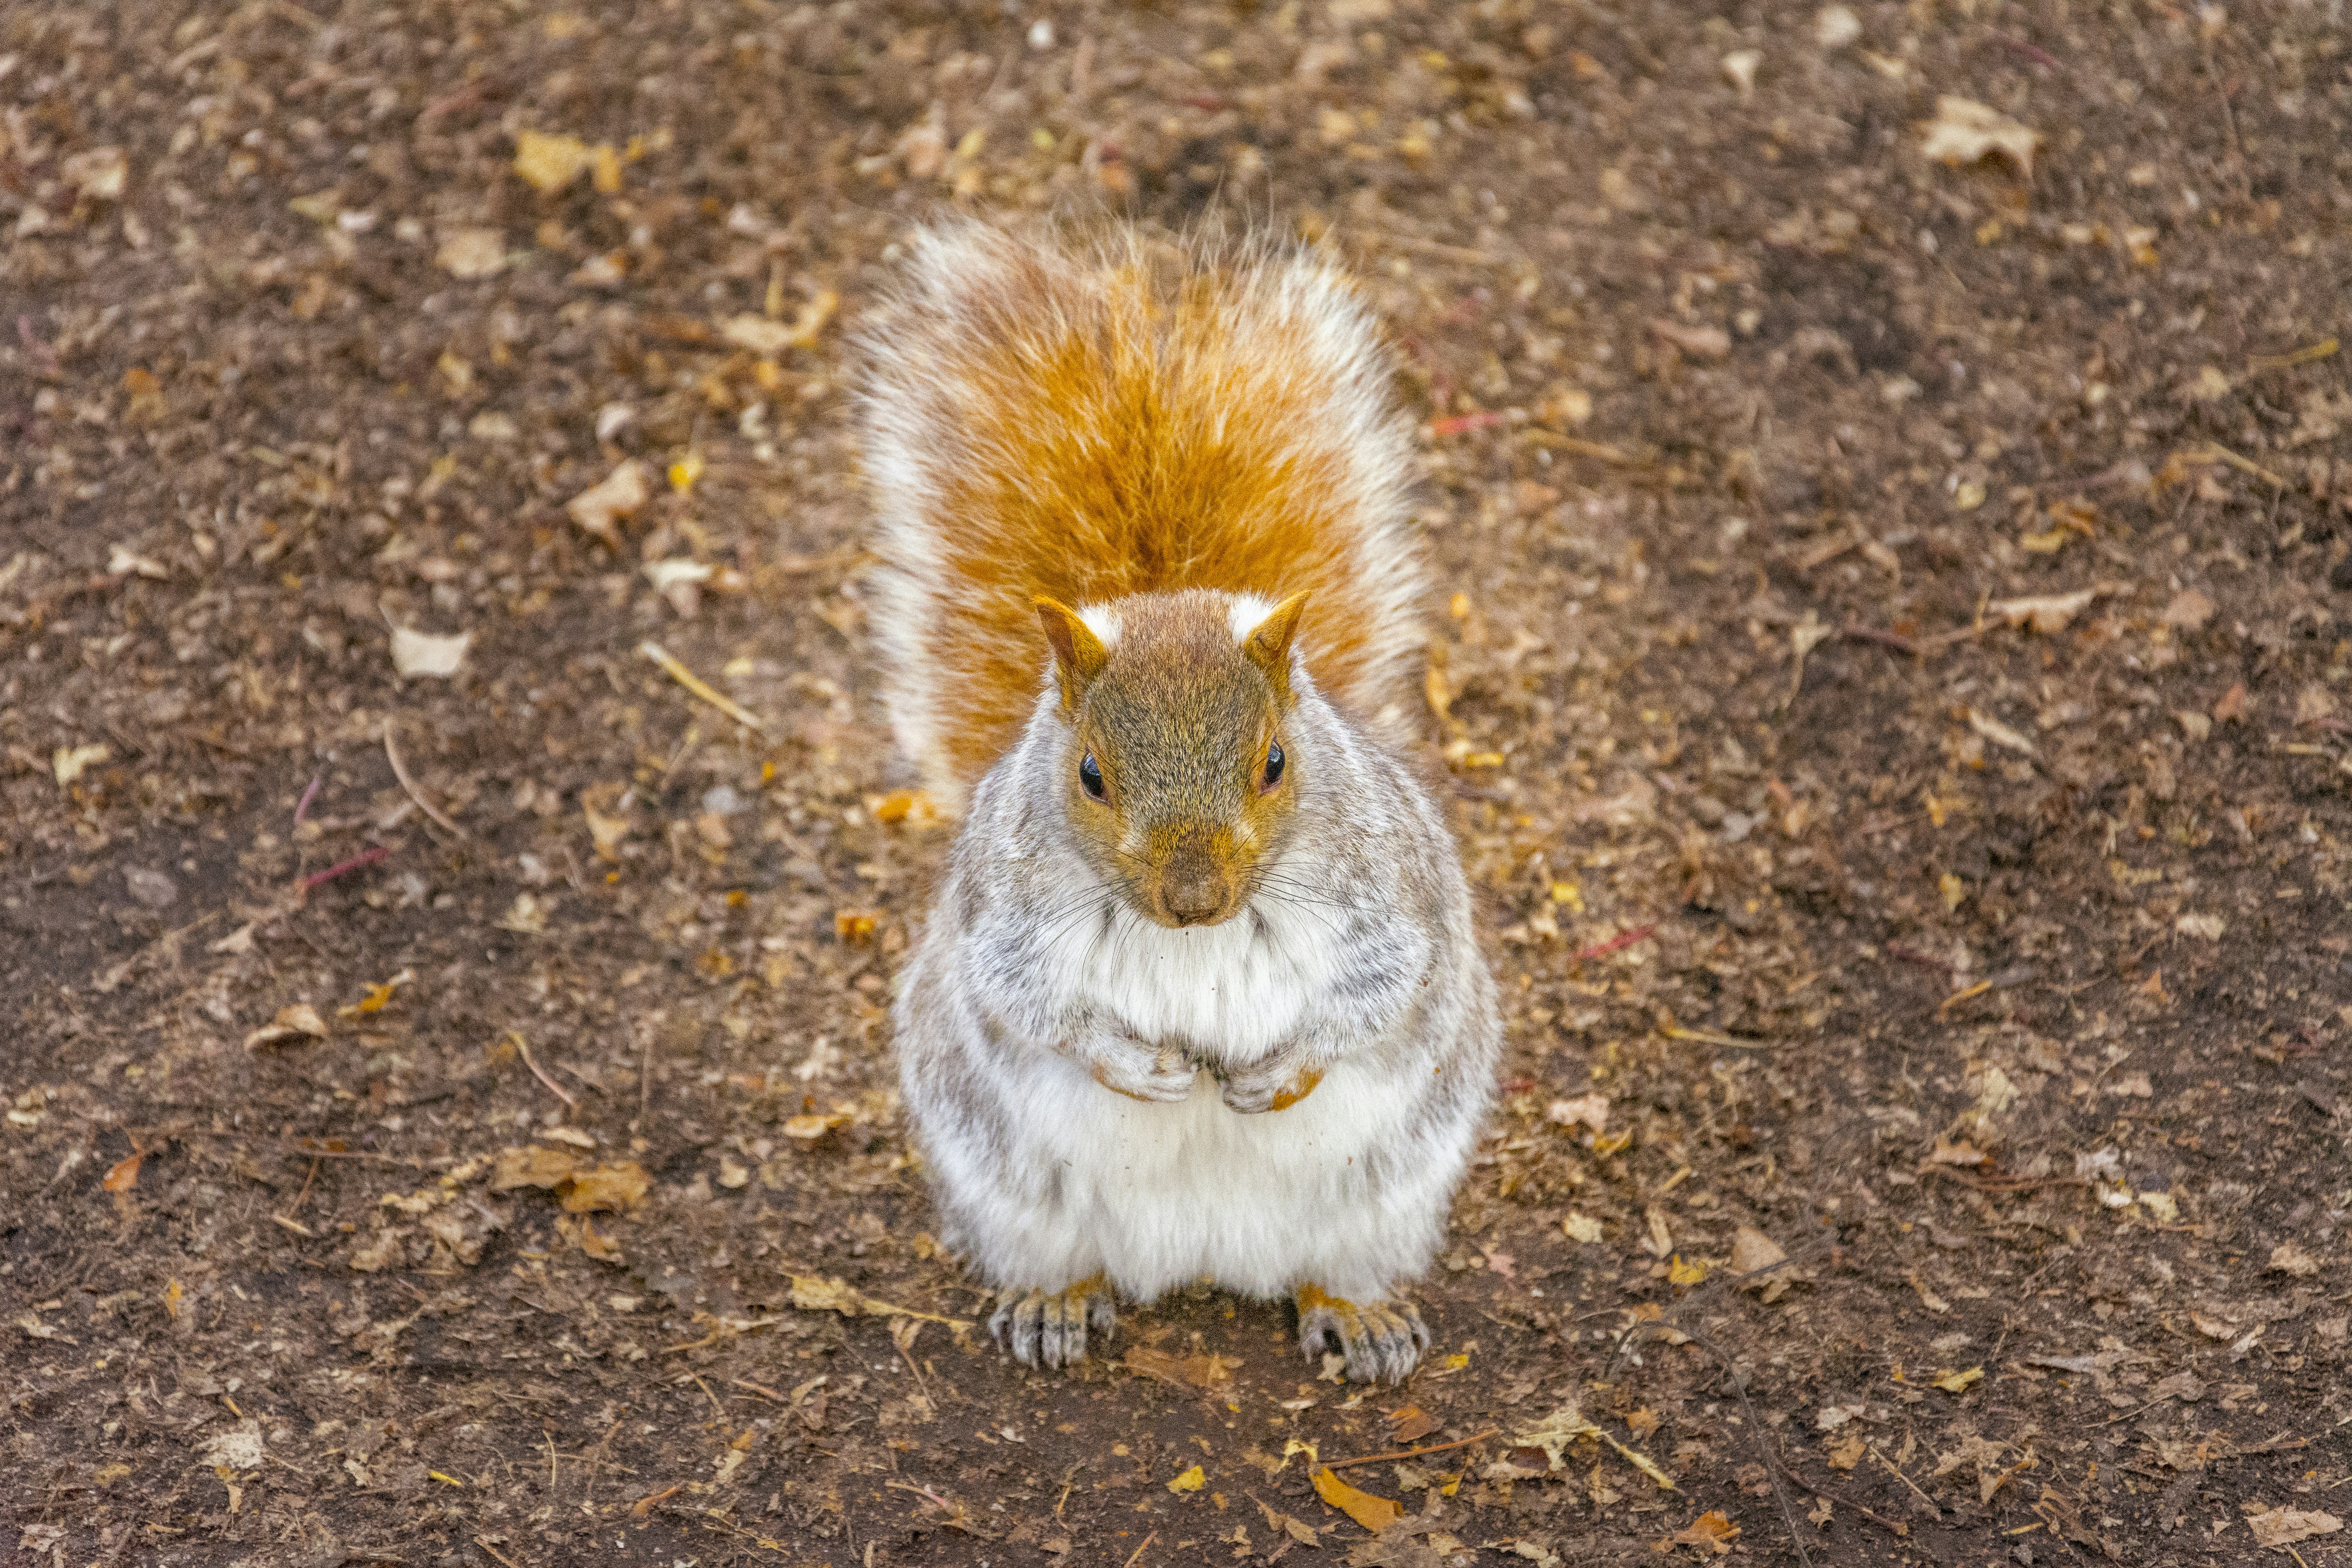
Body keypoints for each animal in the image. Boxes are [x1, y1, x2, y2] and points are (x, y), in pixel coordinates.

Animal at [859, 222, 1500, 1385]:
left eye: (1277, 763)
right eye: (1090, 775)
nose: (1194, 898)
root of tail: (1204, 1256)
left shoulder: (1394, 909)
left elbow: (1375, 998)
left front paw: (1276, 1076)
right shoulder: (1002, 925)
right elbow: (1035, 1006)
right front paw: (1139, 1067)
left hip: (1387, 1187)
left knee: (1336, 1261)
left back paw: (1358, 1312)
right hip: (1011, 1183)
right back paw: (1056, 1302)